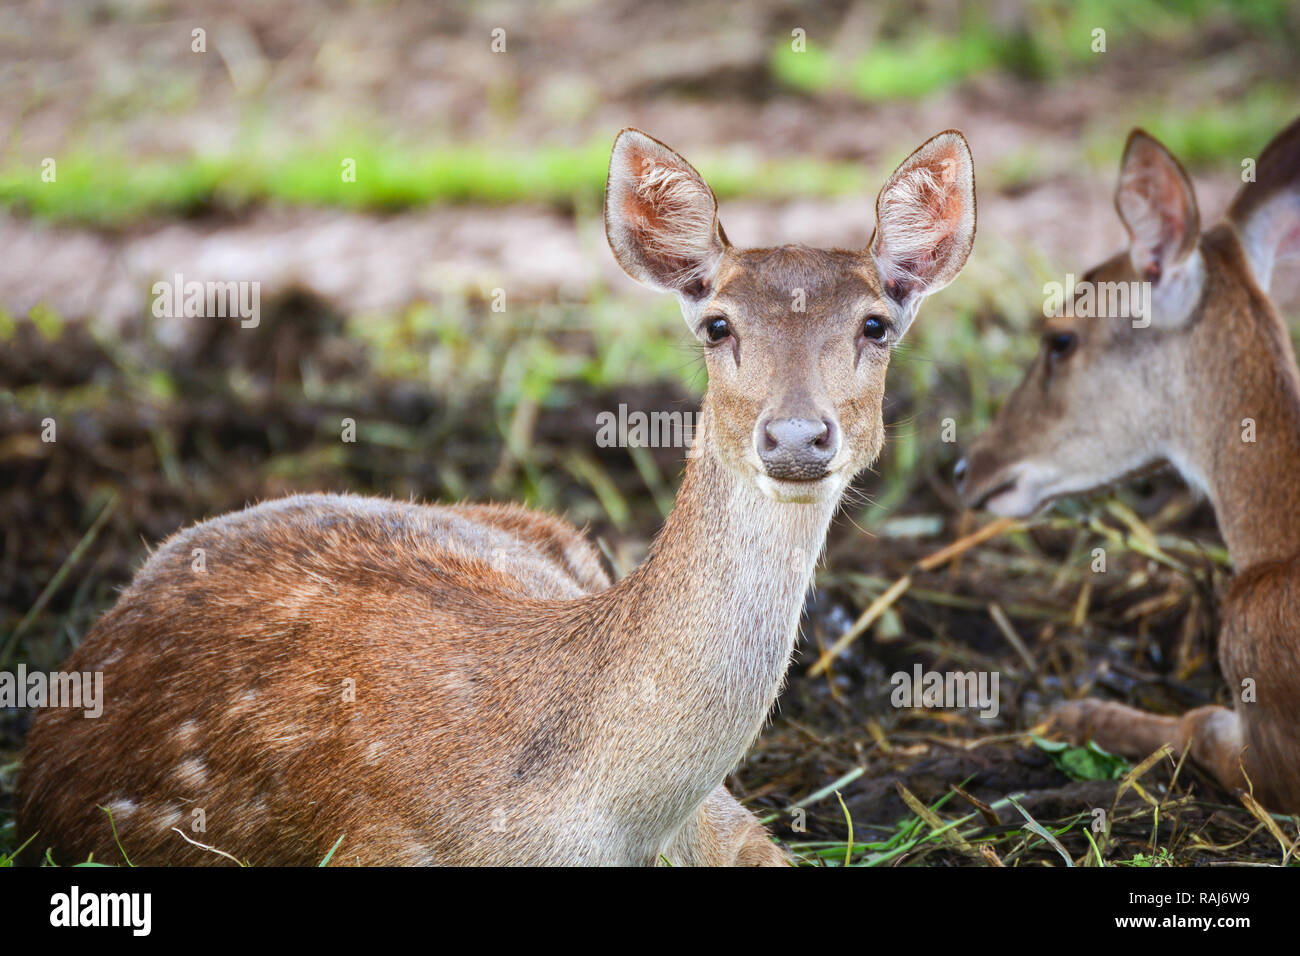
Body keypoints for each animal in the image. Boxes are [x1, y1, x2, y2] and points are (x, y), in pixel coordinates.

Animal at [955, 116, 1300, 811]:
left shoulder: (1270, 753)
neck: (1272, 547)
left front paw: (1075, 714)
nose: (968, 470)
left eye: (1060, 338)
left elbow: (1198, 722)